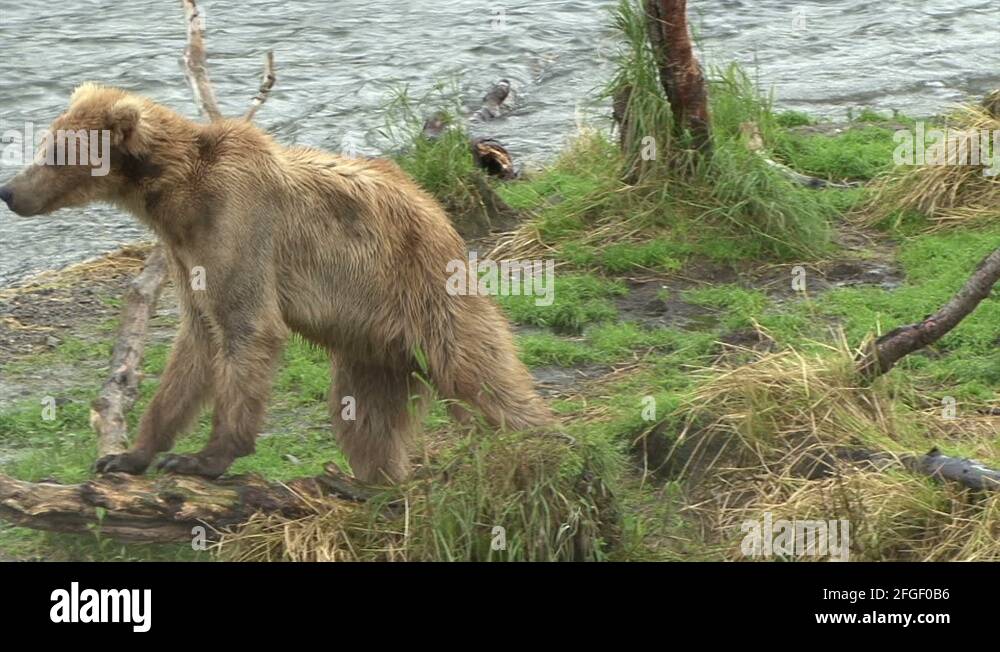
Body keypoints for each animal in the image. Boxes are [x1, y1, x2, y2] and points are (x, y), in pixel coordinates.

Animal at [0, 83, 553, 482]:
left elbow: (248, 330)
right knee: (363, 419)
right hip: (370, 347)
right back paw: (375, 481)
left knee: (481, 374)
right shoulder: (187, 256)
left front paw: (204, 457)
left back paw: (547, 442)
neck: (172, 199)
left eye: (56, 151)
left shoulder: (239, 227)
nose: (9, 190)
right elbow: (195, 346)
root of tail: (440, 216)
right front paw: (128, 454)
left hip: (423, 290)